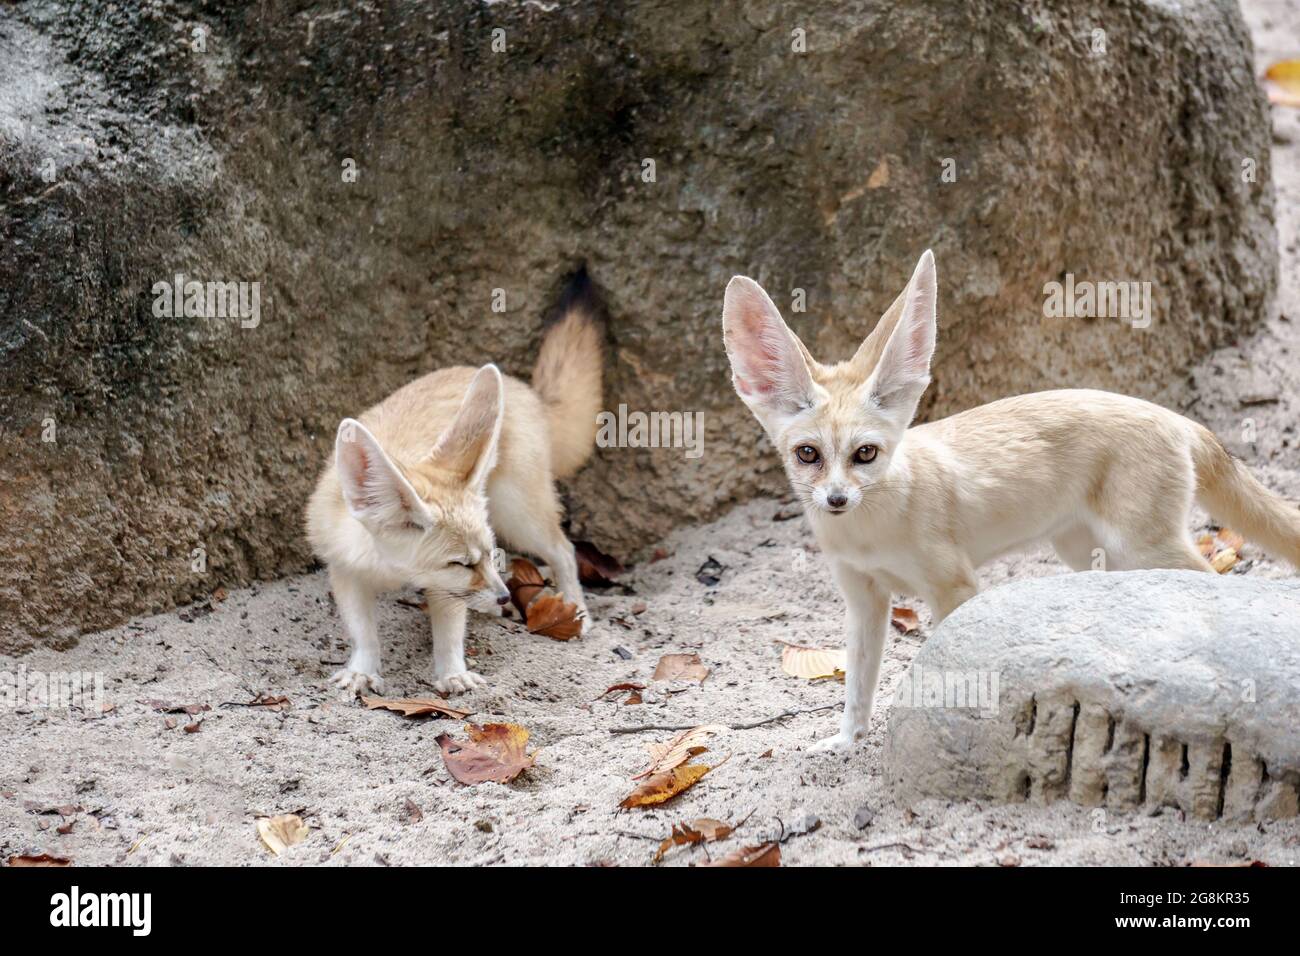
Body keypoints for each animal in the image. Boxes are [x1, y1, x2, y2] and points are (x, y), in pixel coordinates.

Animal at [305, 269, 605, 696]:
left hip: (519, 516)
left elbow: (448, 633)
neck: (391, 571)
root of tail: (526, 390)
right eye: (460, 562)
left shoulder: (446, 587)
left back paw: (576, 610)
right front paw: (362, 670)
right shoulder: (348, 570)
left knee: (564, 549)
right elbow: (363, 633)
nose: (503, 596)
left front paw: (452, 674)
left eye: (484, 555)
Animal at [722, 250, 1300, 752]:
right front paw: (847, 741)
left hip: (1143, 547)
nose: (837, 499)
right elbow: (858, 685)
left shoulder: (954, 585)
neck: (869, 533)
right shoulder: (863, 598)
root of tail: (1177, 417)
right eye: (808, 454)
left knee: (1209, 583)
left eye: (865, 453)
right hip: (1091, 554)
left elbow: (947, 662)